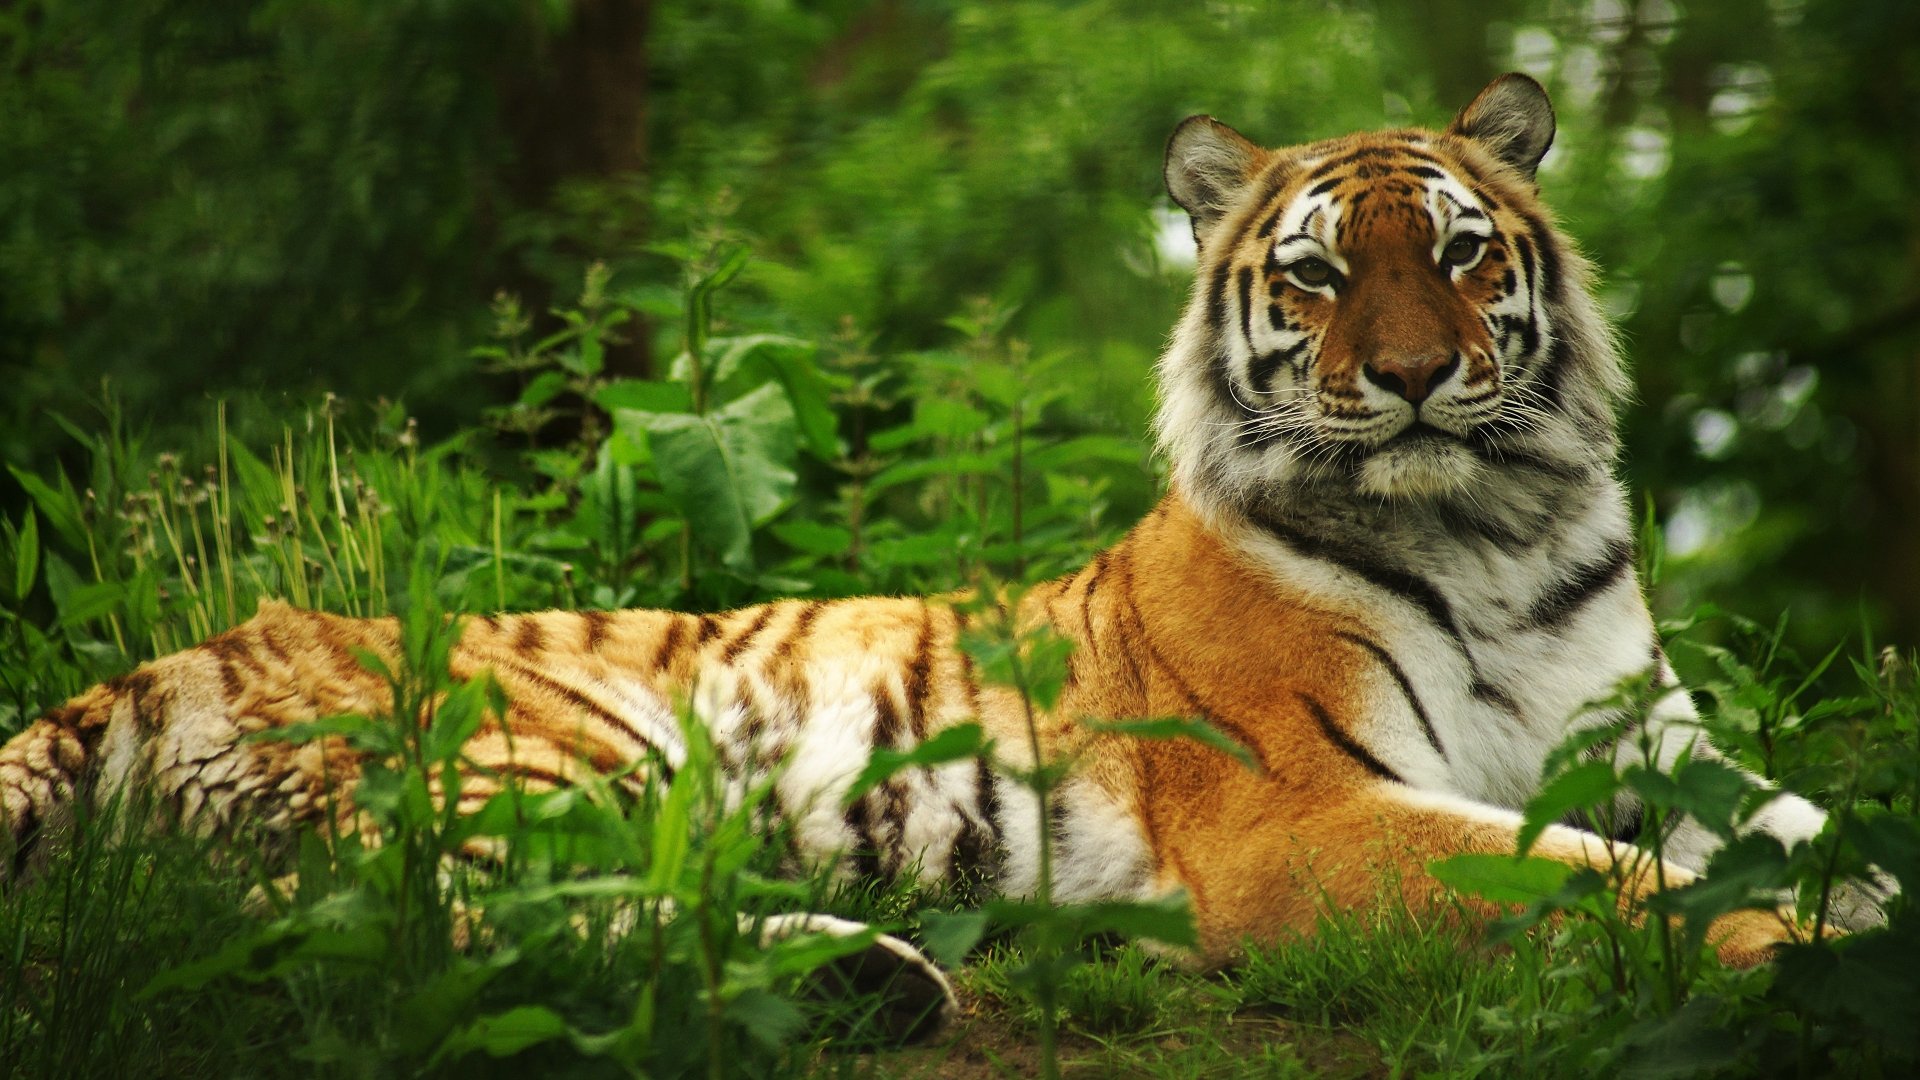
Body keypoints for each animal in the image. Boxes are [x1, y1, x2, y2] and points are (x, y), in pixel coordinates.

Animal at [0, 74, 1886, 1005]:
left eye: (1461, 251)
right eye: (1317, 273)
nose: (1416, 379)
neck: (1494, 530)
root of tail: (190, 649)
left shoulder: (1655, 744)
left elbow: (1827, 825)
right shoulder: (1305, 817)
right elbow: (1599, 879)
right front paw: (1793, 953)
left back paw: (867, 985)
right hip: (534, 761)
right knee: (416, 928)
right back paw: (870, 988)